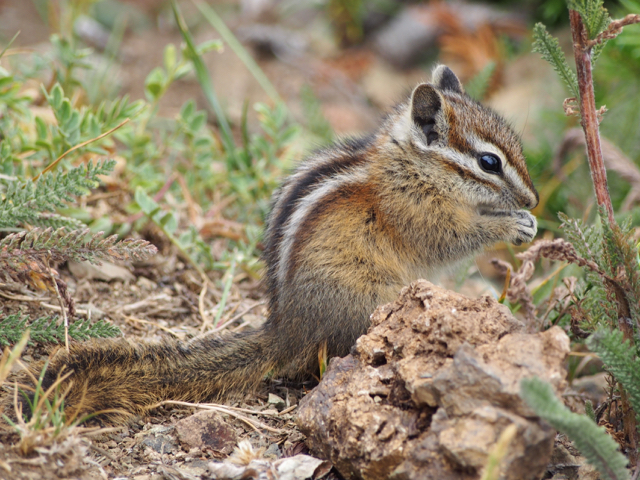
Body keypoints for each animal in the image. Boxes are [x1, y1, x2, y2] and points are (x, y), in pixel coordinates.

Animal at [18, 66, 538, 423]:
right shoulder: (416, 213)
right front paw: (511, 225)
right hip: (368, 300)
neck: (411, 163)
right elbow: (452, 238)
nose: (534, 198)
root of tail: (286, 328)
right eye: (489, 162)